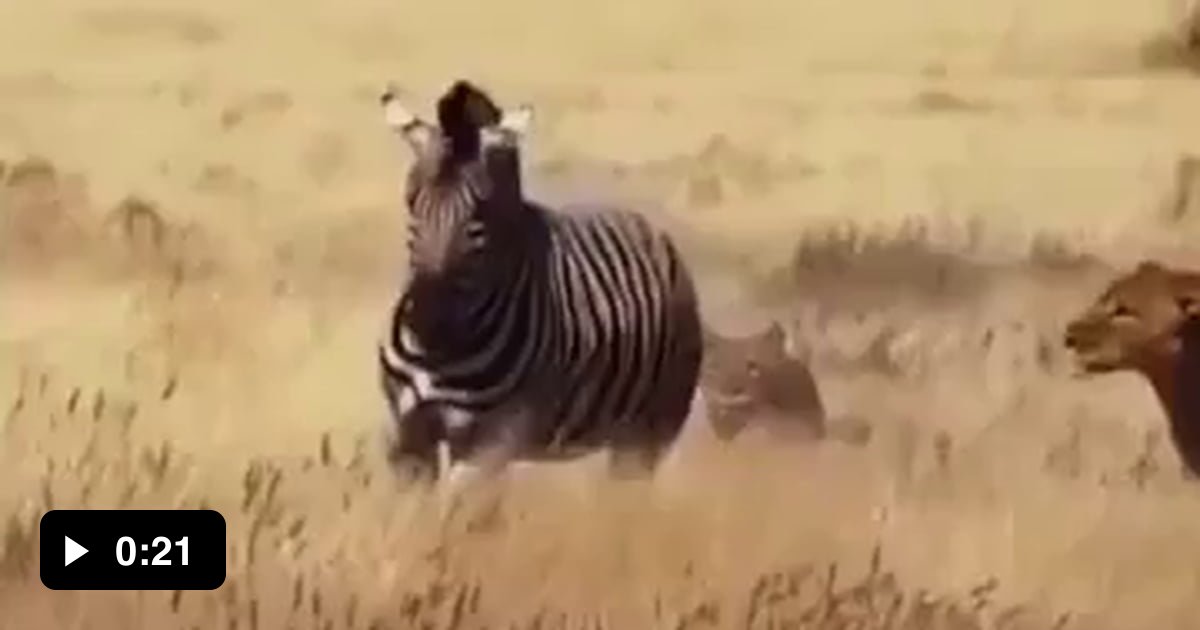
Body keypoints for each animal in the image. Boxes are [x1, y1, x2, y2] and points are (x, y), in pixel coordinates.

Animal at [376, 80, 703, 494]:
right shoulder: (407, 436)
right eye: (412, 203)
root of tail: (647, 226)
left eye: (478, 216)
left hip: (652, 425)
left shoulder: (489, 442)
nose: (423, 321)